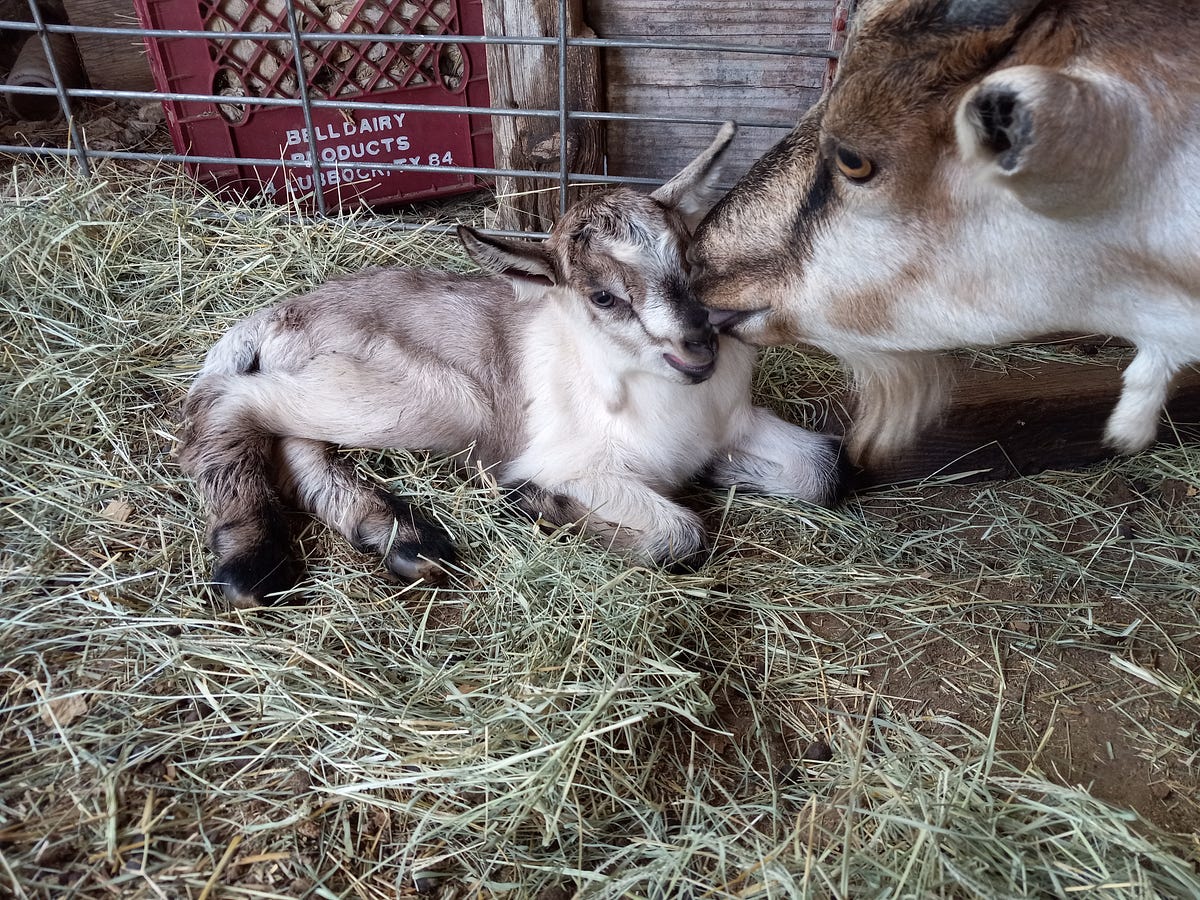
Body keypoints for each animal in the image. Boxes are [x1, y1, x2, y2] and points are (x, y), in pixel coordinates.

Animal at [179, 125, 847, 607]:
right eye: (602, 296)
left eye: (688, 254)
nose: (698, 343)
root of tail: (277, 313)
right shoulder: (573, 460)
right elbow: (680, 536)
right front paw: (541, 503)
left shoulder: (731, 422)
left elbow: (825, 467)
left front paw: (727, 475)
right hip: (433, 403)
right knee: (230, 405)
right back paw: (249, 561)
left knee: (295, 442)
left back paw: (400, 538)